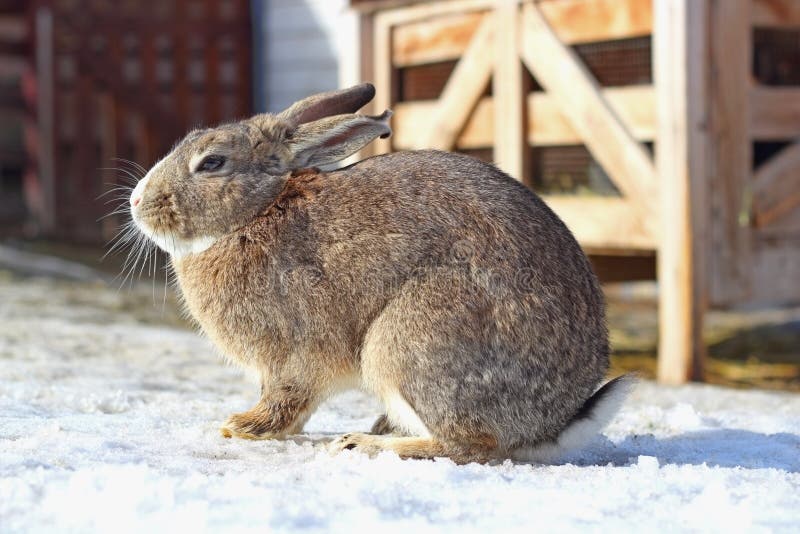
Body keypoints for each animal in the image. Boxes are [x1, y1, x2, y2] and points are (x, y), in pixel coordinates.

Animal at [128, 83, 631, 464]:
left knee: (469, 446)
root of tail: (551, 425)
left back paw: (364, 443)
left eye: (212, 163)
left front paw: (241, 427)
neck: (259, 211)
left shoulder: (293, 355)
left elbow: (286, 398)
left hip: (414, 338)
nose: (135, 202)